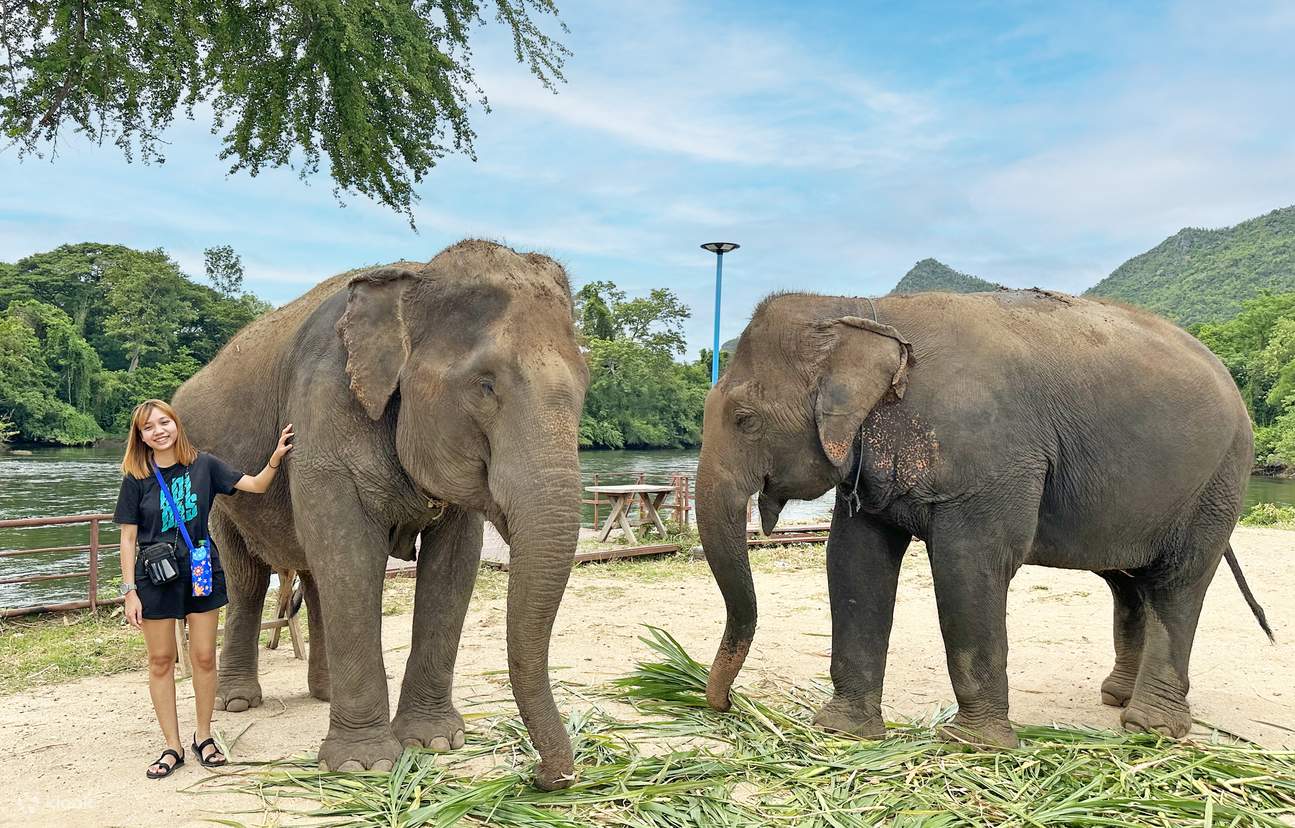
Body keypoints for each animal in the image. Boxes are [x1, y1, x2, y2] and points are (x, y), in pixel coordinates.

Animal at [171, 240, 588, 789]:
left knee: (315, 575)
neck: (414, 278)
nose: (543, 776)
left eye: (586, 386)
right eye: (486, 386)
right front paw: (362, 765)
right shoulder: (323, 406)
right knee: (247, 578)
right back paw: (236, 702)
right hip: (212, 491)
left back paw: (323, 694)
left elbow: (454, 565)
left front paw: (434, 742)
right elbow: (352, 558)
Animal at [696, 288, 1272, 748]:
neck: (867, 311)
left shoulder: (992, 464)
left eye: (745, 419)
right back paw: (1116, 699)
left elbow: (969, 567)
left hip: (1219, 480)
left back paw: (1150, 729)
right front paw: (843, 733)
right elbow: (854, 561)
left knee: (1177, 583)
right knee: (1128, 584)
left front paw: (974, 744)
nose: (724, 705)